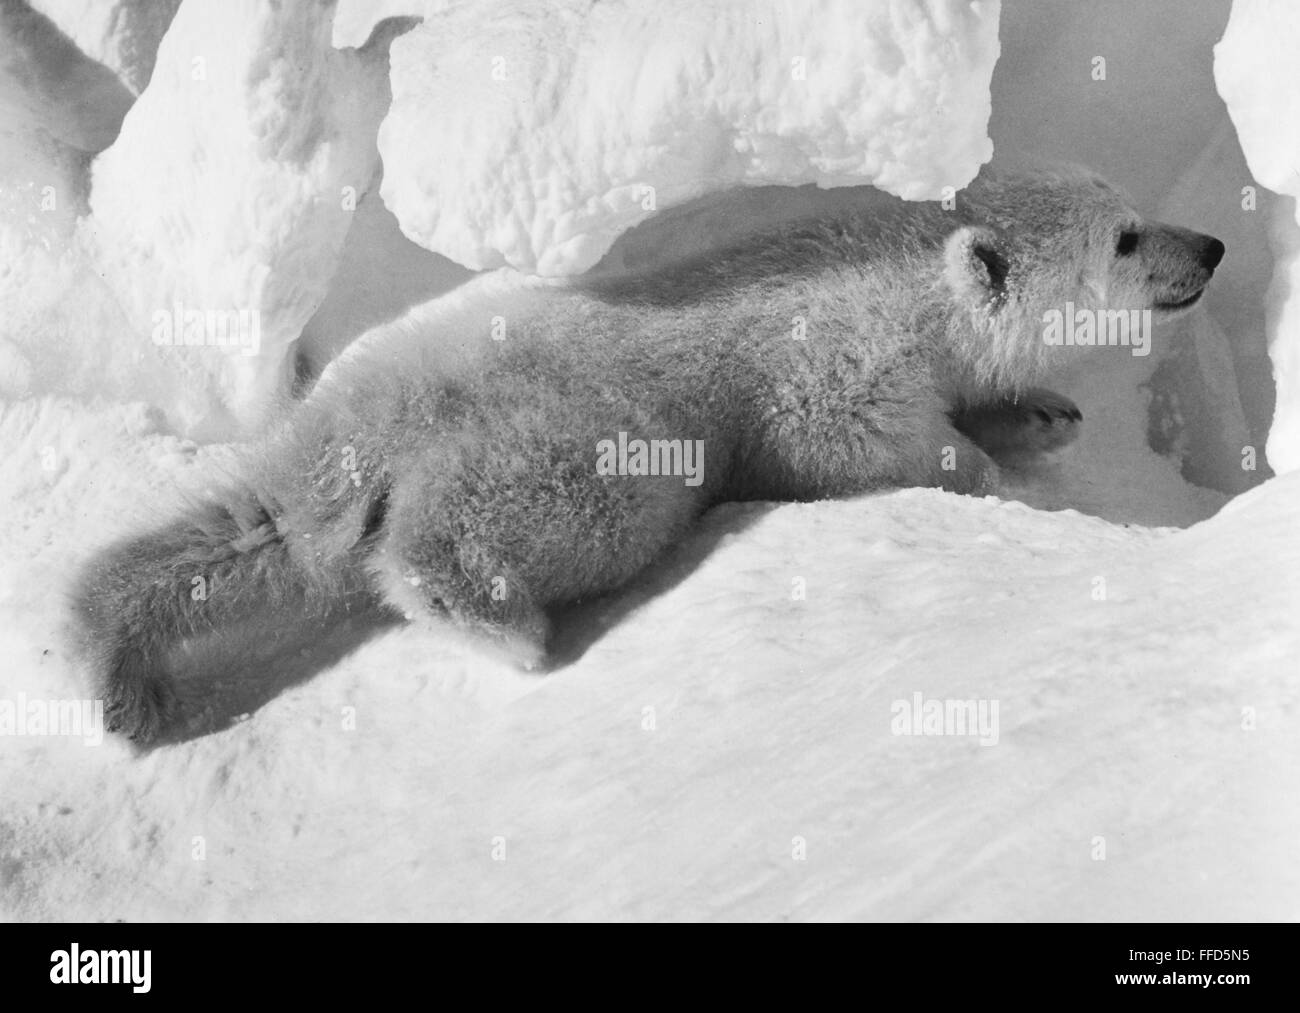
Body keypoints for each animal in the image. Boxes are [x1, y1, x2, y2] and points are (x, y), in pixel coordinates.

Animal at [71, 164, 1224, 743]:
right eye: (1125, 237)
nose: (1211, 245)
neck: (905, 276)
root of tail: (382, 410)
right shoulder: (832, 359)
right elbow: (840, 436)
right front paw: (987, 474)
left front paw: (1041, 414)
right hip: (583, 428)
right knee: (527, 513)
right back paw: (501, 623)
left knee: (251, 525)